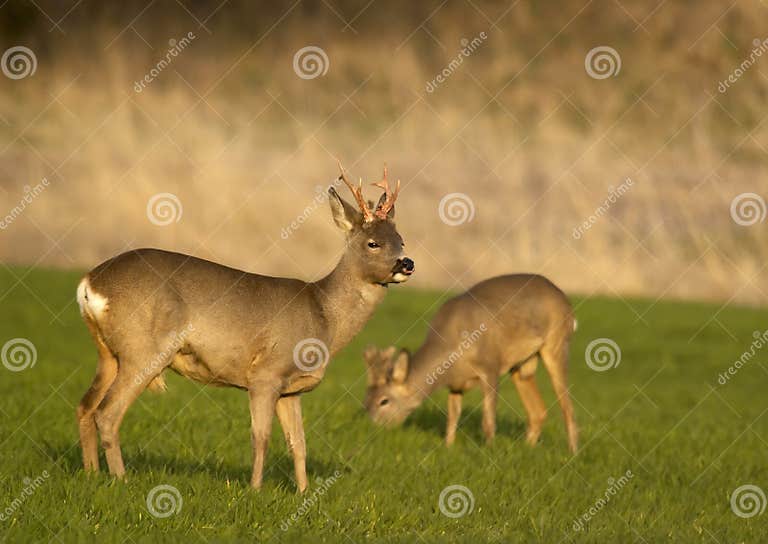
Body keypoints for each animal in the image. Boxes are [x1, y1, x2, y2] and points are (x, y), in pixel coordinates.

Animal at [75, 162, 414, 492]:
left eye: (401, 241)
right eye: (373, 243)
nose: (406, 263)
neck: (324, 315)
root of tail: (90, 283)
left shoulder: (291, 389)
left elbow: (299, 444)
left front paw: (303, 493)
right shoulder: (265, 374)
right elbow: (260, 438)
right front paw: (255, 490)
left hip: (109, 354)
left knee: (86, 406)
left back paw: (92, 474)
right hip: (142, 350)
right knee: (107, 413)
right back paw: (121, 479)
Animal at [363, 274, 578, 453]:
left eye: (384, 401)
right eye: (366, 401)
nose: (370, 430)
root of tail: (566, 301)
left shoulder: (490, 365)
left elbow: (488, 419)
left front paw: (490, 450)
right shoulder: (455, 384)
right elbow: (452, 417)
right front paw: (448, 447)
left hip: (557, 344)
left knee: (567, 406)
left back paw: (572, 452)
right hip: (522, 365)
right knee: (538, 412)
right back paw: (528, 448)